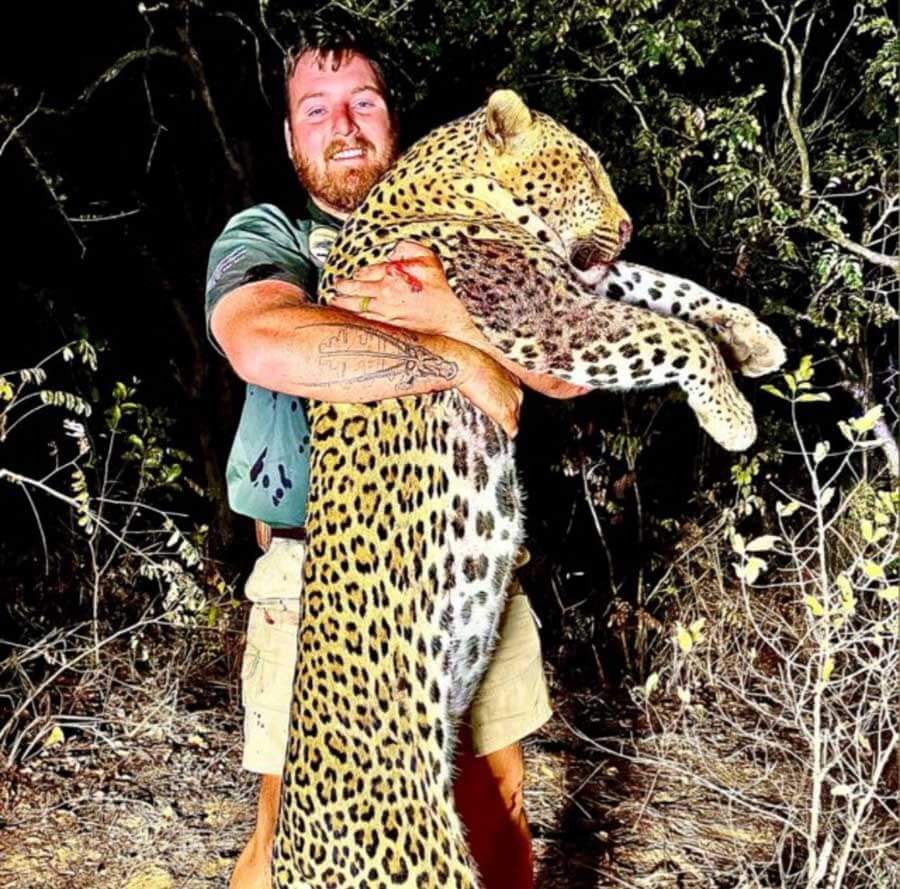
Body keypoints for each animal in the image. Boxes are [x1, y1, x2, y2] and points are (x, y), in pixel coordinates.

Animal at [271, 90, 786, 888]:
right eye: (583, 170)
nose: (628, 223)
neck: (453, 183)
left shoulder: (571, 279)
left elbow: (663, 285)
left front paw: (753, 339)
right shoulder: (546, 313)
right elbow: (668, 333)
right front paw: (731, 414)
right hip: (427, 861)